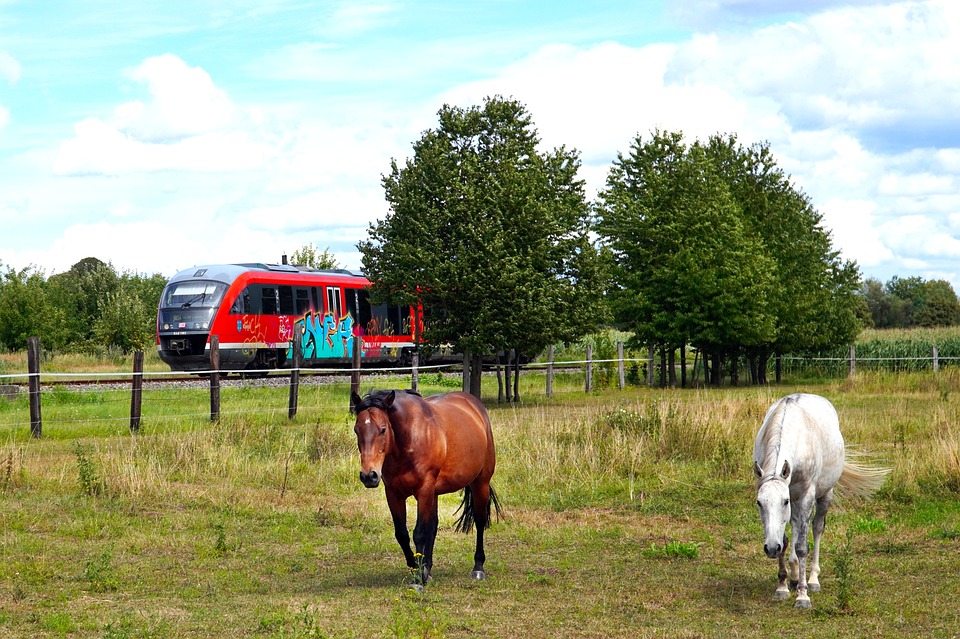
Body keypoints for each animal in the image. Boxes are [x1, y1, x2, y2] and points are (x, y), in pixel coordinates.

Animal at [351, 389, 502, 584]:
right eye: (356, 430)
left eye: (383, 429)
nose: (369, 475)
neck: (407, 443)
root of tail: (475, 406)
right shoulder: (393, 494)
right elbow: (402, 533)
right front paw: (417, 567)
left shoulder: (423, 490)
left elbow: (420, 532)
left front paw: (418, 574)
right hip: (435, 493)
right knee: (433, 525)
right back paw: (428, 568)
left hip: (480, 483)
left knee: (480, 520)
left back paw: (478, 567)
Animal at [753, 393, 889, 608]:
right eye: (760, 503)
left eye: (784, 501)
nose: (771, 548)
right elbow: (786, 539)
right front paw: (782, 586)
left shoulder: (805, 496)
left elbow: (802, 546)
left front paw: (803, 596)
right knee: (796, 525)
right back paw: (794, 575)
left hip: (824, 495)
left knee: (816, 528)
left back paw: (812, 580)